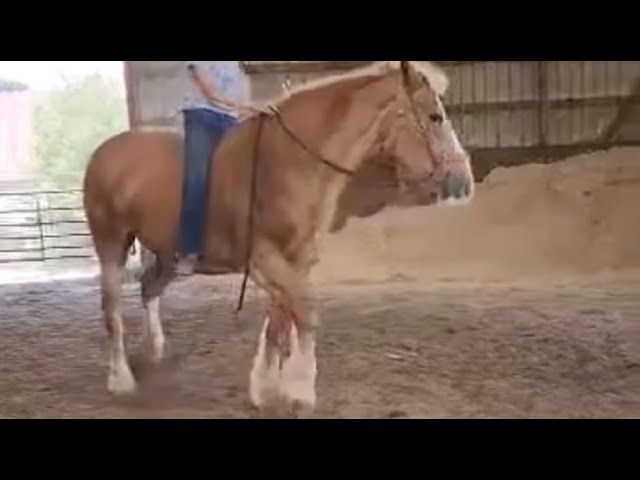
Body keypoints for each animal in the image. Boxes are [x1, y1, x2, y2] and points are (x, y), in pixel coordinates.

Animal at [82, 61, 475, 415]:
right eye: (435, 117)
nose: (463, 180)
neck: (292, 162)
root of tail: (103, 152)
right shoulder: (266, 259)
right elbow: (305, 313)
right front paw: (300, 392)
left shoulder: (296, 260)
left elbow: (280, 322)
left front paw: (266, 389)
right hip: (111, 244)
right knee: (112, 308)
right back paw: (121, 379)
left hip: (168, 254)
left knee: (149, 288)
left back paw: (155, 352)